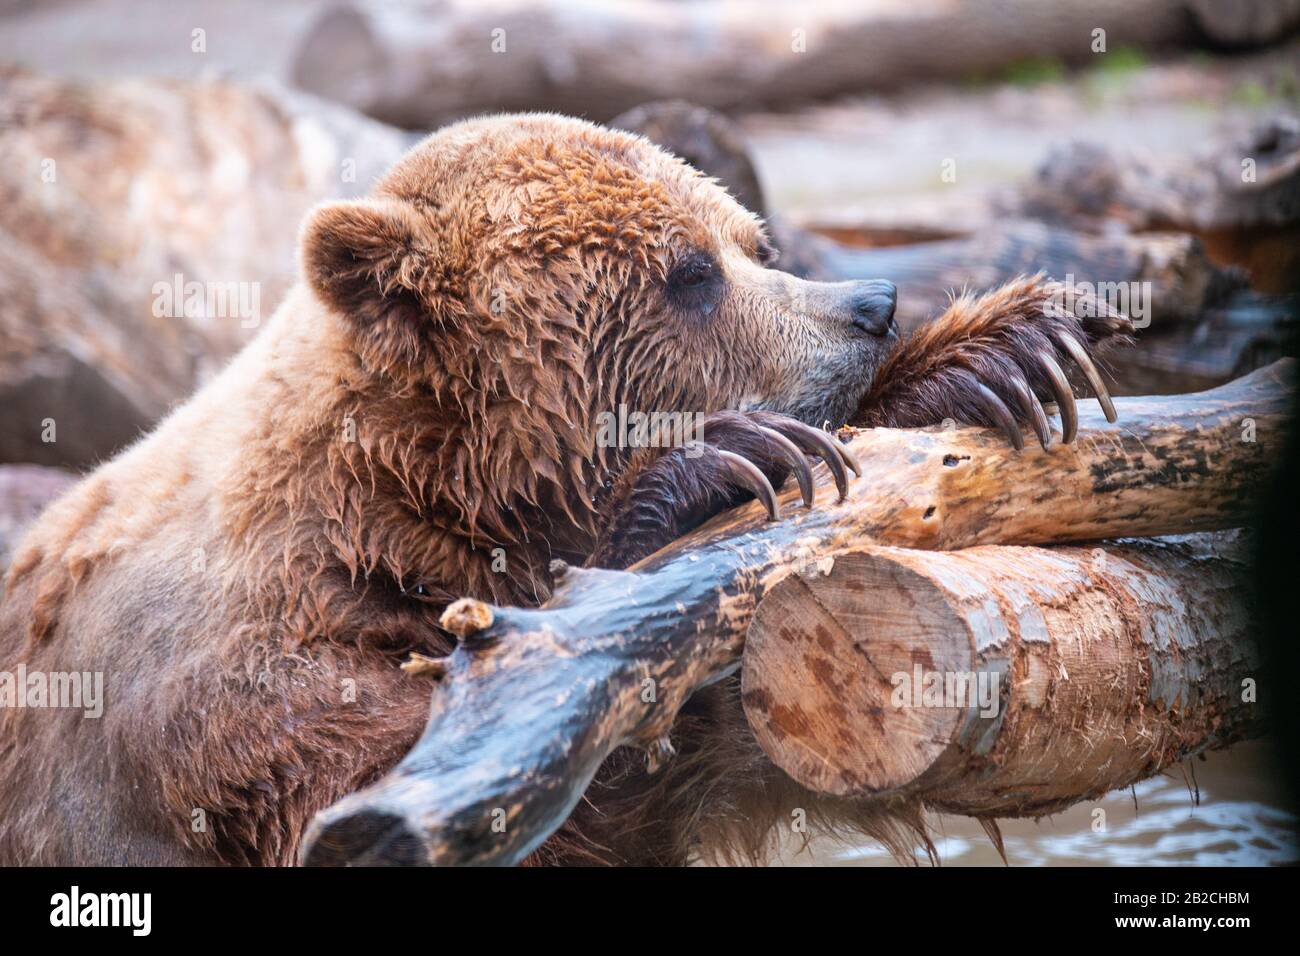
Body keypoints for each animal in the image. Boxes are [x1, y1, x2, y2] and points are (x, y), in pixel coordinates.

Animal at [0, 113, 1128, 866]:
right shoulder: (232, 703)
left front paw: (999, 356)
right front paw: (720, 462)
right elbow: (450, 798)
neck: (414, 510)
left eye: (750, 240)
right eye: (689, 272)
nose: (872, 303)